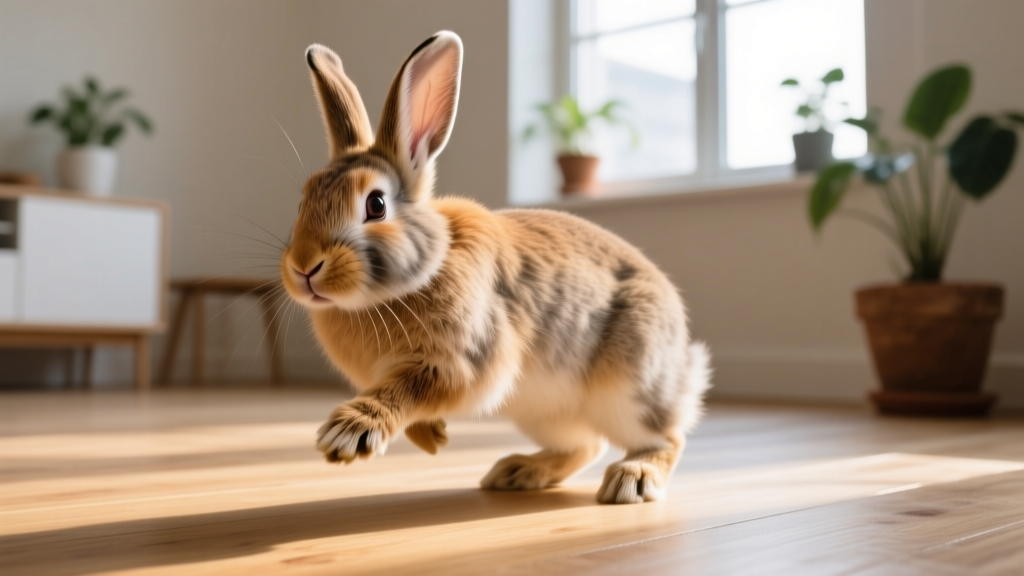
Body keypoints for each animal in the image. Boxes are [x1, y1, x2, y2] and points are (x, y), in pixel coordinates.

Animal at [280, 31, 711, 504]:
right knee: (585, 445)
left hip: (630, 388)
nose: (304, 268)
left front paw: (350, 432)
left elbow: (409, 389)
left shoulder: (463, 359)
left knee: (665, 438)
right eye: (302, 201)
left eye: (375, 205)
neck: (422, 273)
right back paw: (517, 472)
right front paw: (432, 438)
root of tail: (683, 358)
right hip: (545, 412)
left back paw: (631, 479)